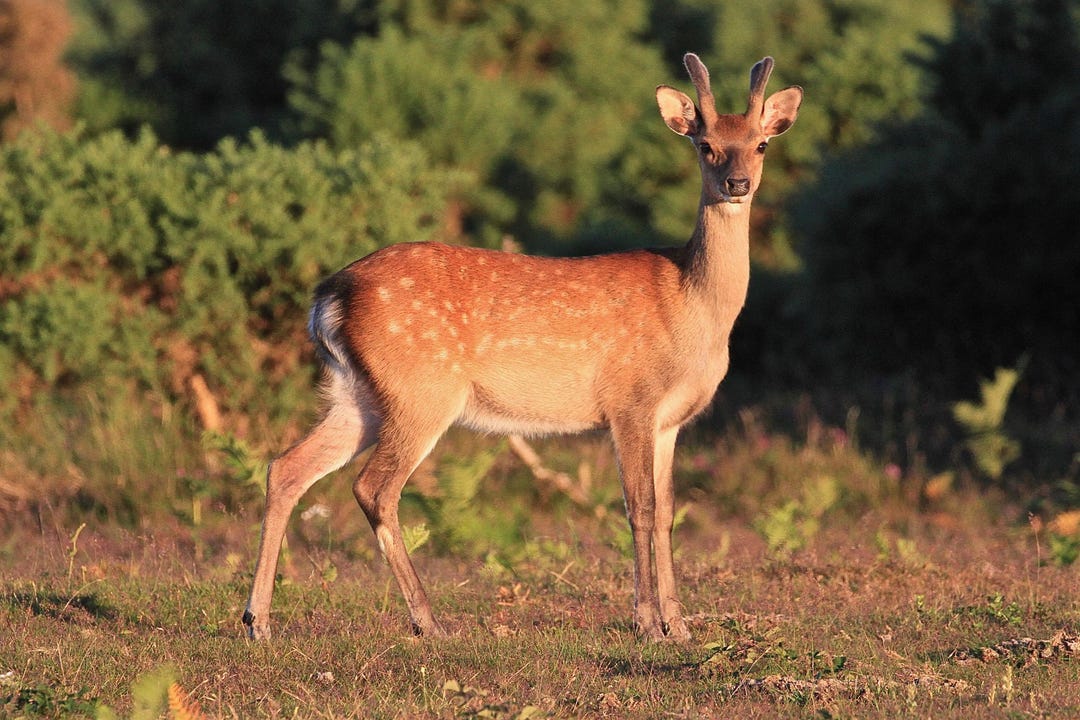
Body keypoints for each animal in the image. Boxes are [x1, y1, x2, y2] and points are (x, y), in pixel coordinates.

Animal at [242, 53, 801, 642]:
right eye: (705, 144)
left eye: (761, 143)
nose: (737, 182)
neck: (692, 309)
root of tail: (328, 294)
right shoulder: (630, 400)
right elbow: (640, 507)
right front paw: (649, 624)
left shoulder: (669, 419)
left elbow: (669, 509)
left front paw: (680, 625)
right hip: (421, 389)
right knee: (374, 488)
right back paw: (429, 622)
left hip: (359, 395)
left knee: (286, 468)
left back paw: (258, 621)